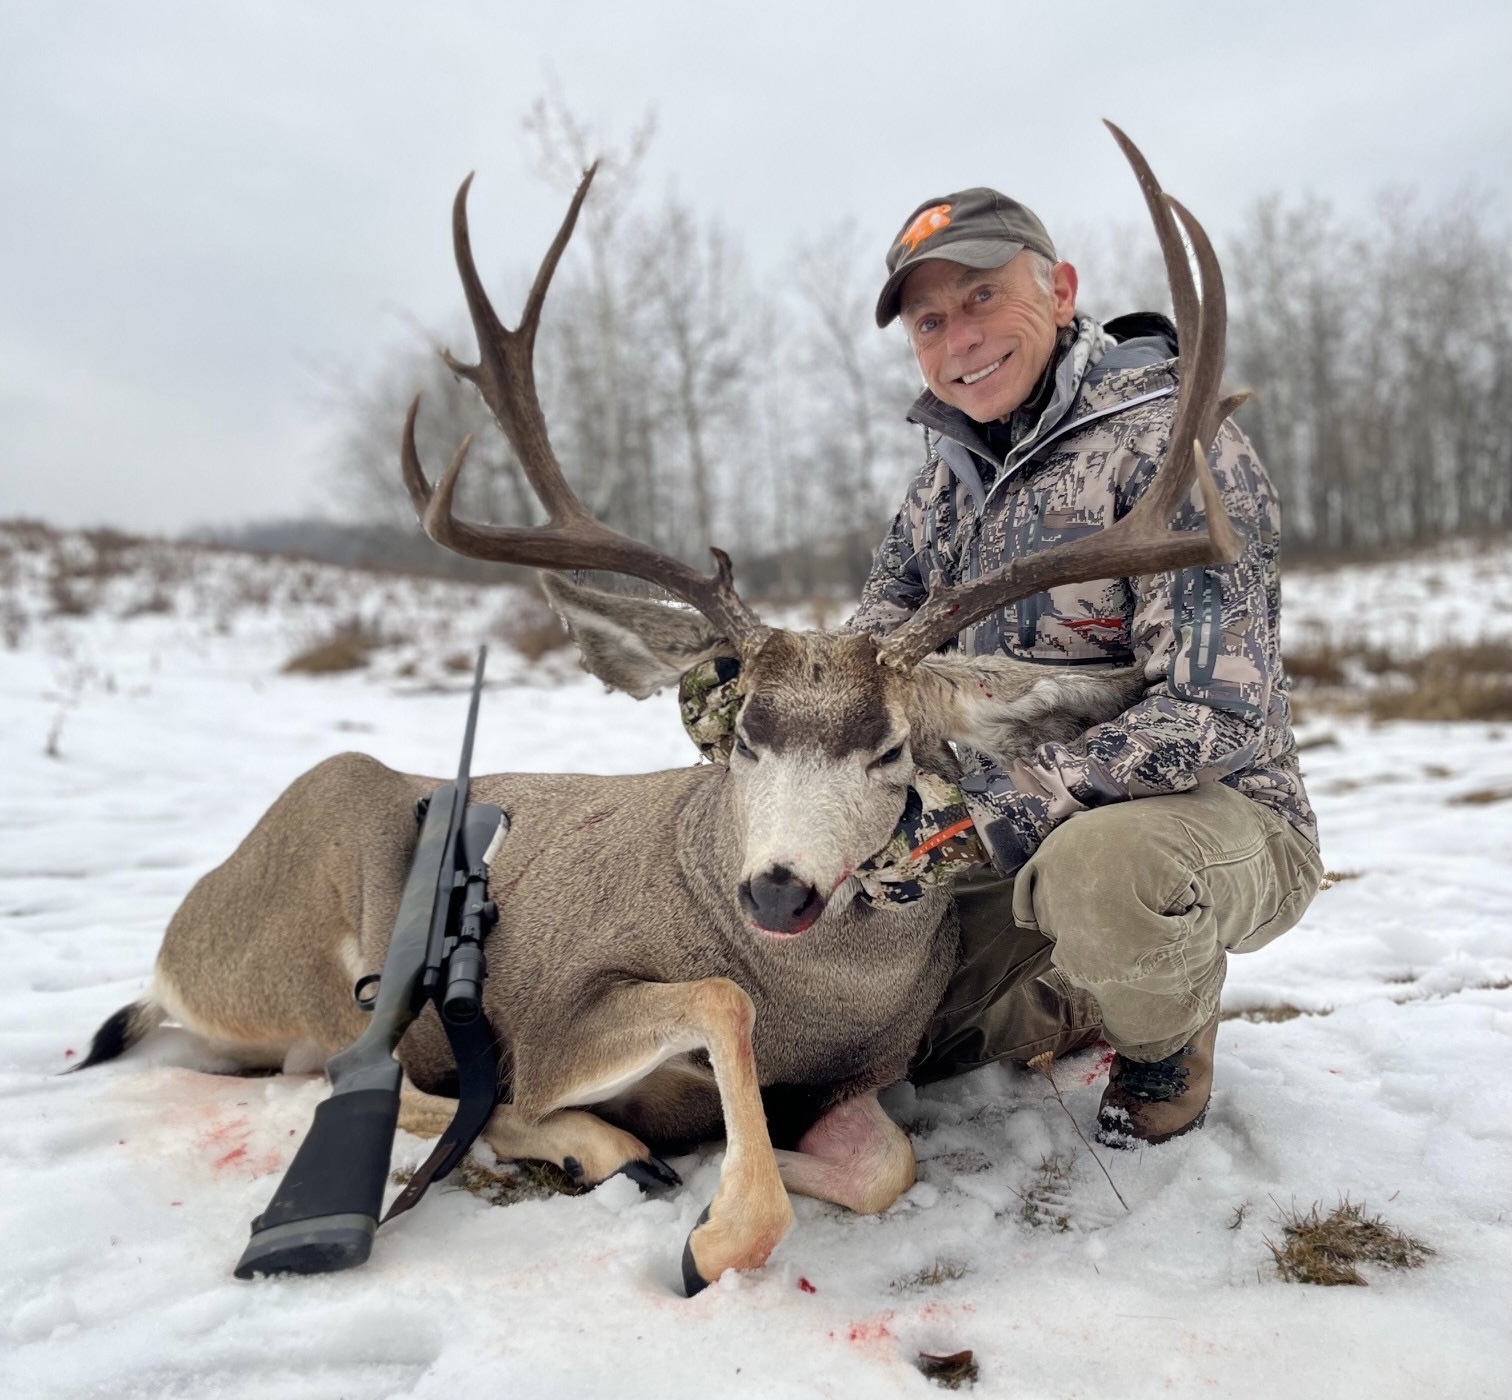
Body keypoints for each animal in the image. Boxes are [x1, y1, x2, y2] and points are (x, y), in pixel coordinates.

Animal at [77, 123, 1240, 1294]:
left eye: (890, 749)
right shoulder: (557, 1020)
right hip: (324, 926)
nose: (777, 888)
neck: (819, 1006)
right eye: (745, 738)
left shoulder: (864, 1074)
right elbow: (714, 1008)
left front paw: (712, 1174)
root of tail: (180, 942)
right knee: (338, 1073)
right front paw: (698, 1212)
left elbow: (881, 1163)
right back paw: (585, 1145)